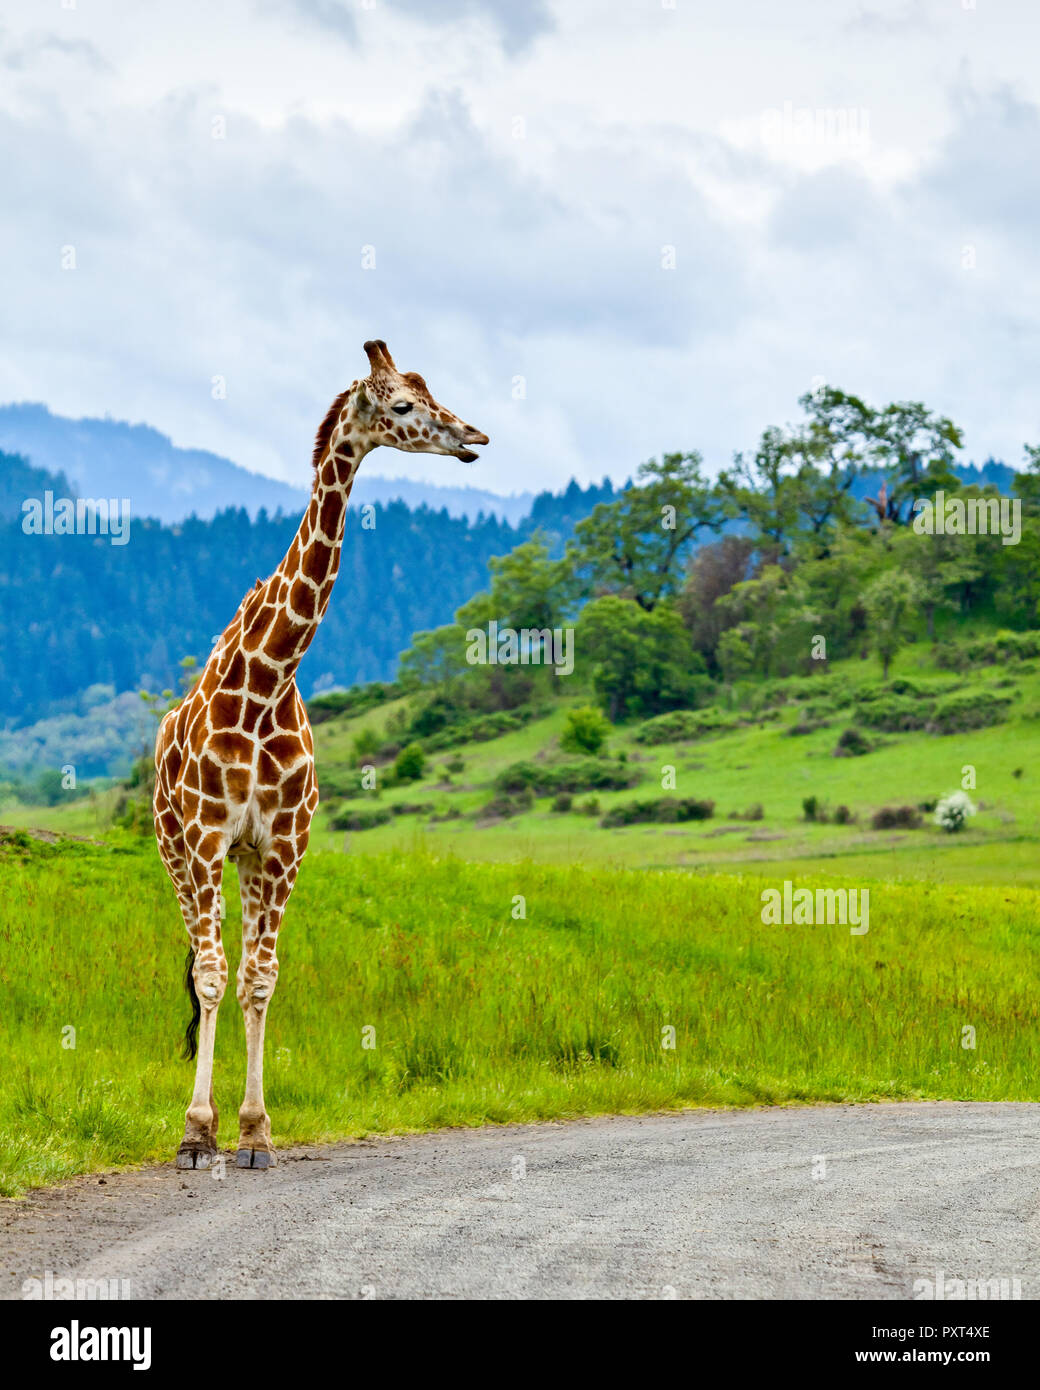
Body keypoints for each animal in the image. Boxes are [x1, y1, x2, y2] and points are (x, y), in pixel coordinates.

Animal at [153, 339, 488, 1170]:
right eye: (401, 405)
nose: (473, 436)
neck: (269, 678)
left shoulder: (281, 846)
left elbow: (262, 978)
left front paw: (256, 1131)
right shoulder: (206, 839)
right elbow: (213, 976)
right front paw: (197, 1131)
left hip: (243, 862)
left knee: (242, 967)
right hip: (177, 855)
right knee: (201, 965)